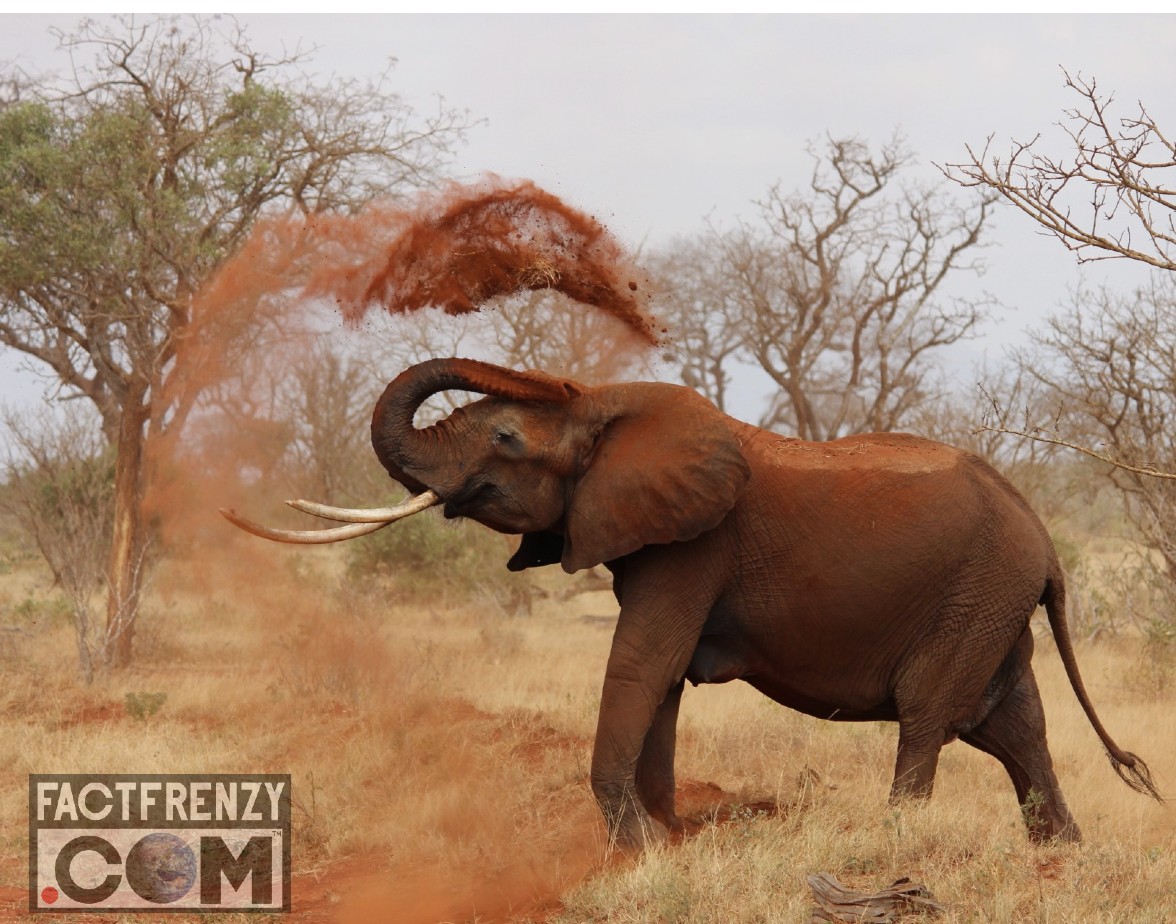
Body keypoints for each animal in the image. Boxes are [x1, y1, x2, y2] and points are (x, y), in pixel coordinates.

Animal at [224, 356, 1161, 850]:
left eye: (505, 437)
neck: (606, 409)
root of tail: (1043, 536)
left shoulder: (692, 547)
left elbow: (644, 663)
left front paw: (636, 850)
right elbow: (661, 679)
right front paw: (666, 839)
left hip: (977, 591)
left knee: (933, 714)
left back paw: (894, 843)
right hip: (993, 598)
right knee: (1013, 724)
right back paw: (1060, 859)